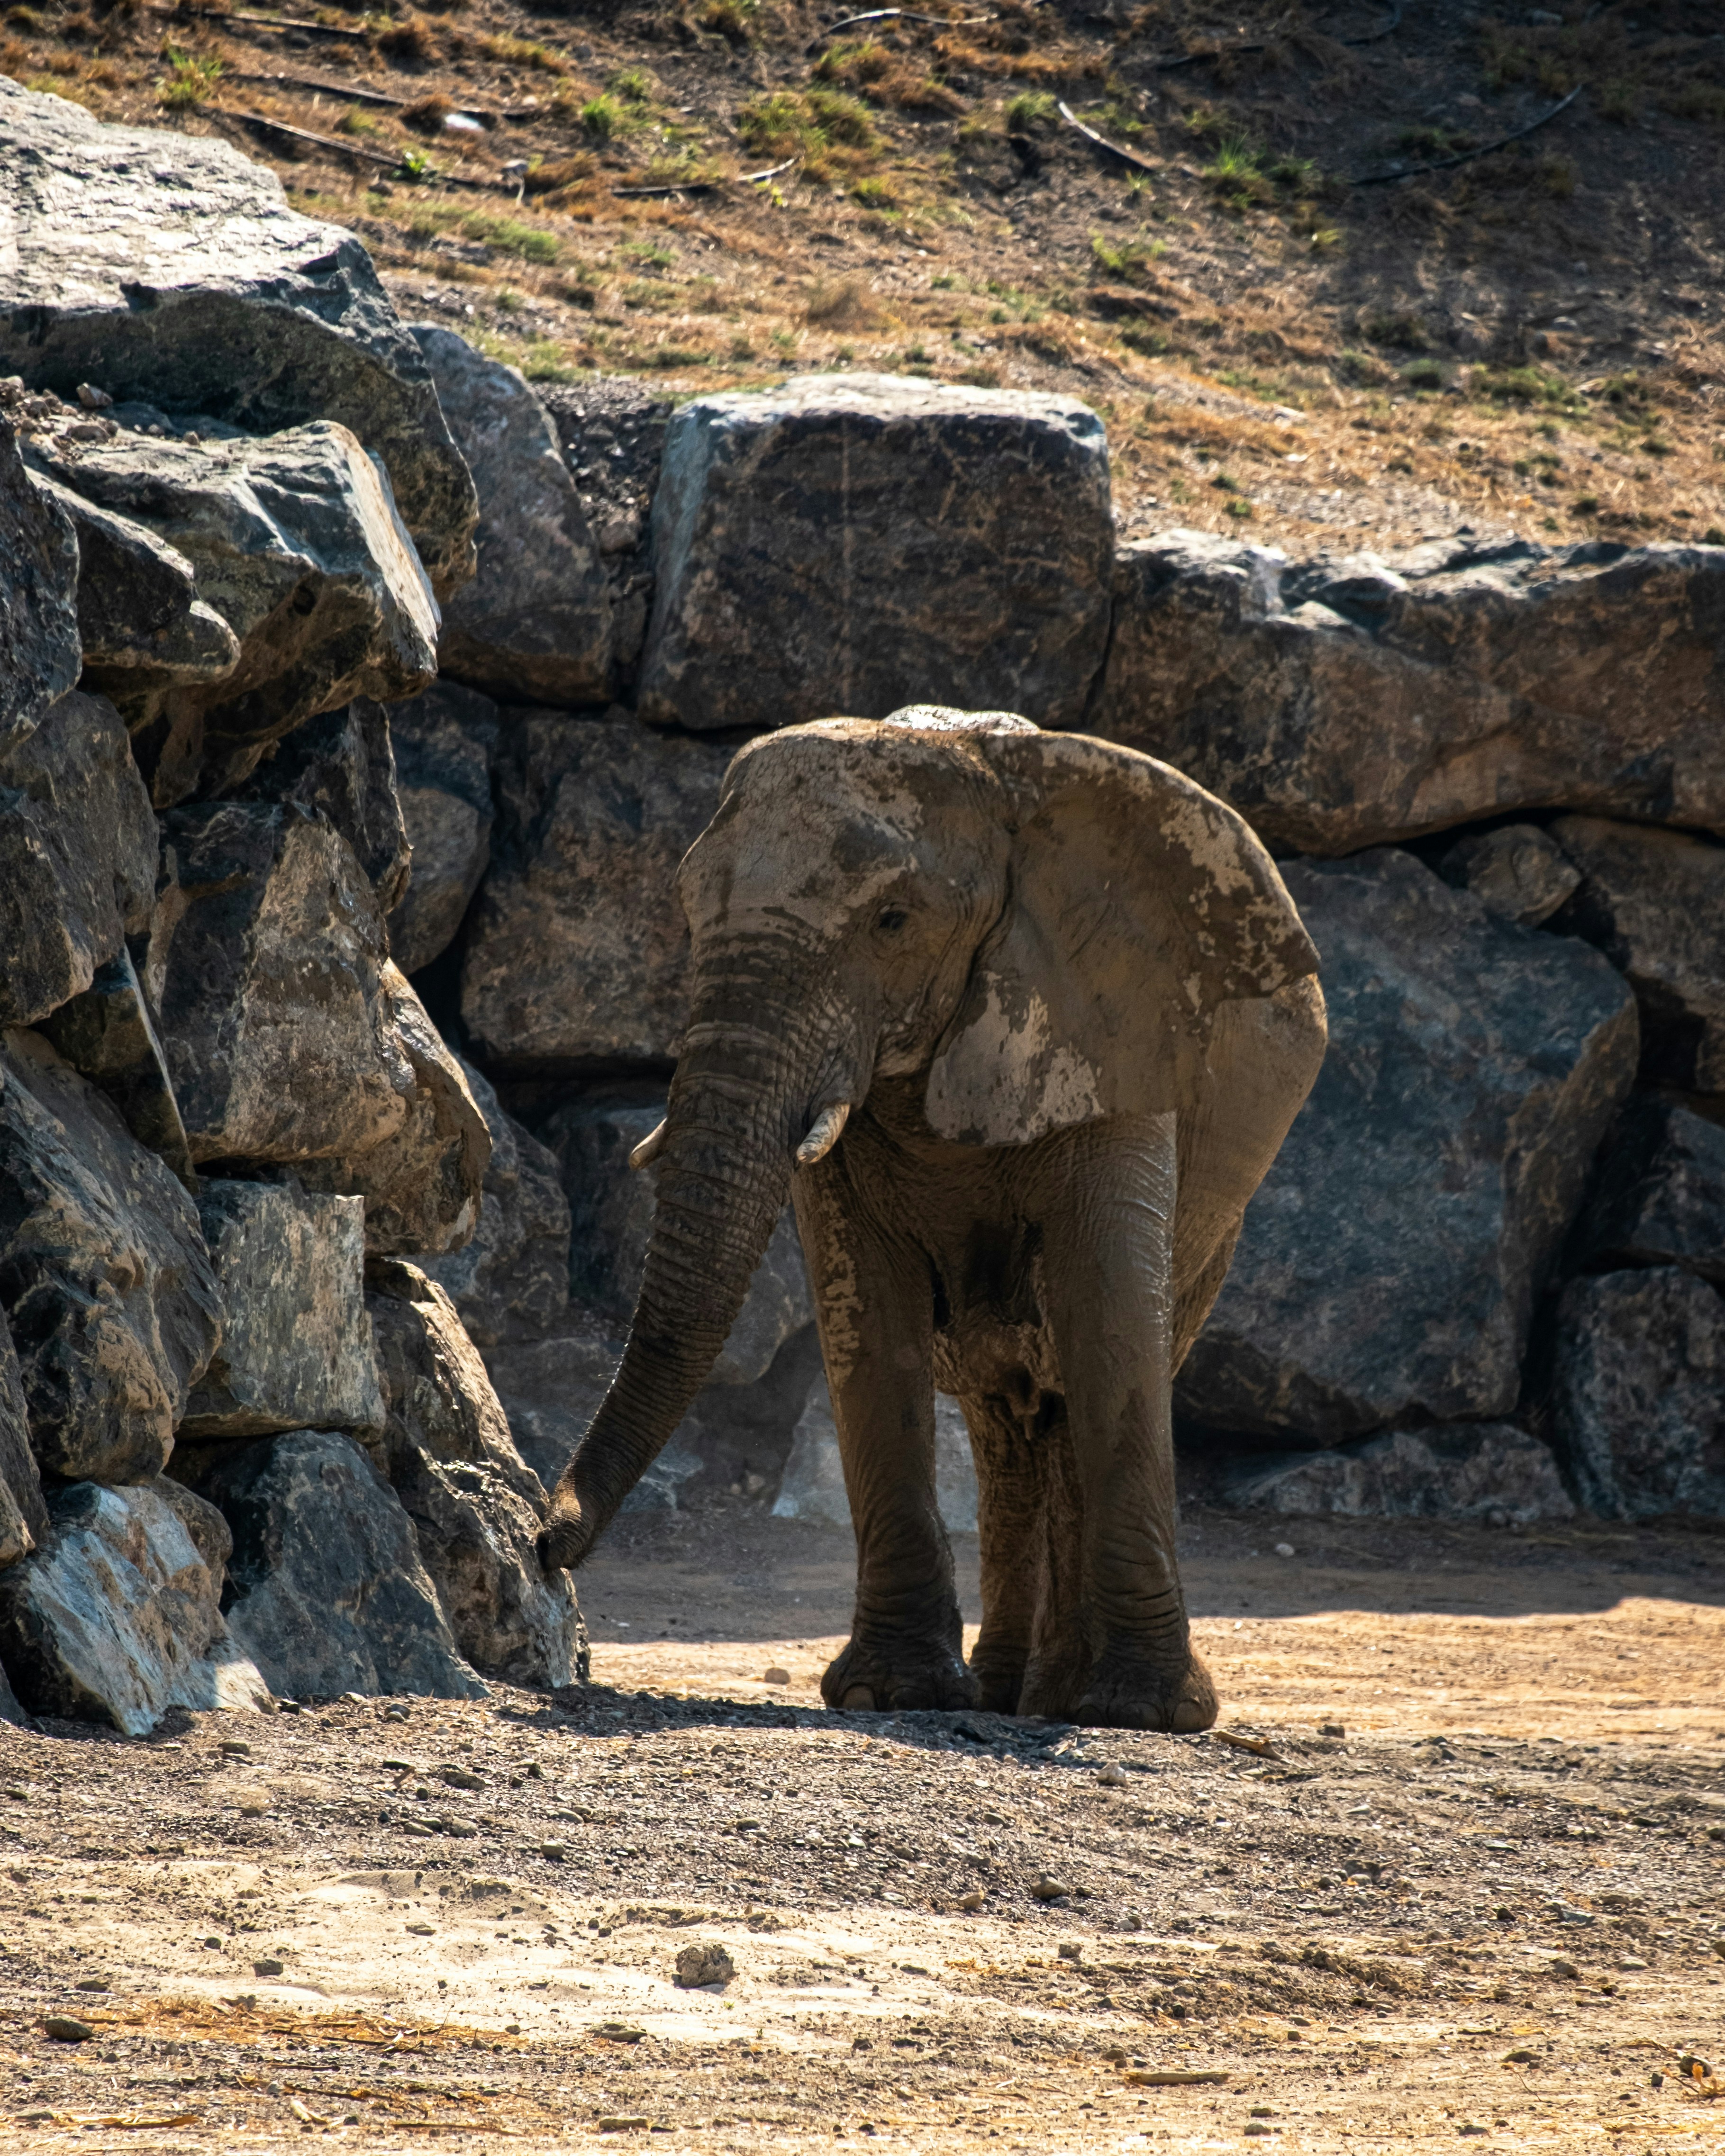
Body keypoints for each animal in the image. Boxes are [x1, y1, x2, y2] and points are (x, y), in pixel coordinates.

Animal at [542, 705, 1326, 1732]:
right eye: (687, 904)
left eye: (892, 921)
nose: (546, 1540)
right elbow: (867, 1317)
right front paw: (890, 1693)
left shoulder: (1110, 1033)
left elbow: (1109, 1317)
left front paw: (1148, 1712)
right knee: (1007, 1426)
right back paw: (1013, 1693)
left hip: (1220, 1227)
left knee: (1080, 1376)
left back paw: (1059, 1698)